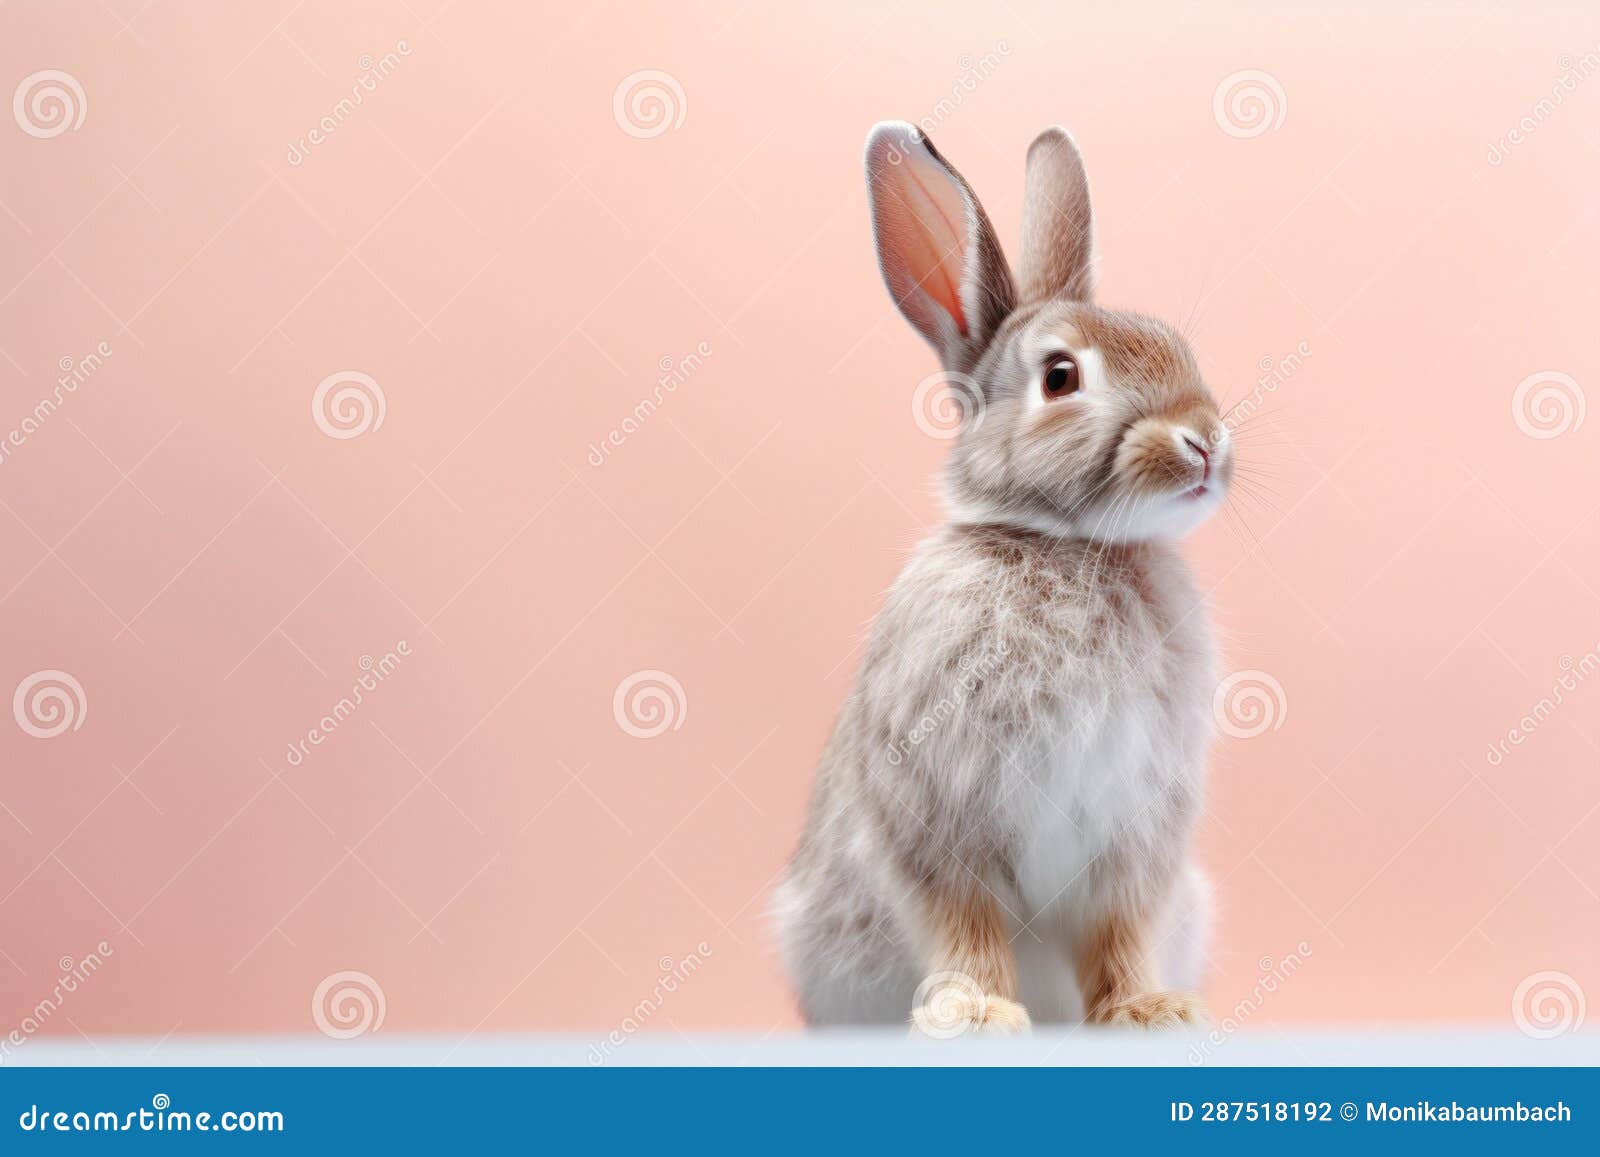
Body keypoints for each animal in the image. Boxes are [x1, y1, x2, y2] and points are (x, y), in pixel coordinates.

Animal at [772, 121, 1231, 1034]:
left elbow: (1119, 929)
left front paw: (1150, 1010)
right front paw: (975, 1014)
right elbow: (966, 922)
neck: (1070, 544)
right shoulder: (941, 816)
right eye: (1060, 378)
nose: (1203, 439)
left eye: (1174, 343)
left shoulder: (1135, 833)